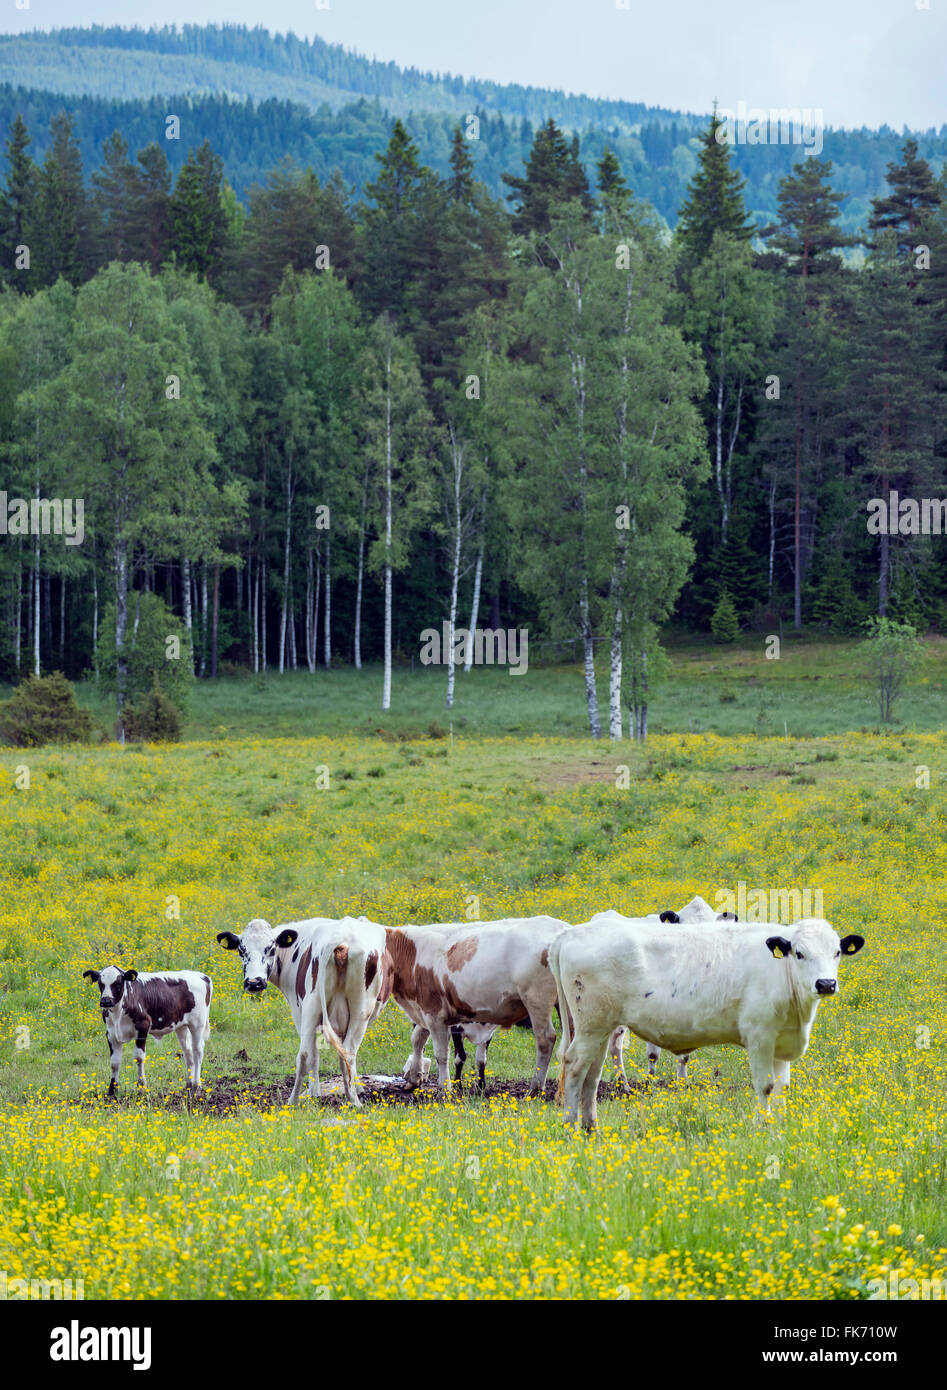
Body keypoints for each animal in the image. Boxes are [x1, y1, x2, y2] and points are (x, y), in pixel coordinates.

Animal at [82, 966, 212, 1097]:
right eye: (100, 983)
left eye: (118, 983)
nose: (106, 1001)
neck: (118, 1014)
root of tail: (200, 975)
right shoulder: (111, 1033)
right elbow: (114, 1062)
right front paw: (112, 1091)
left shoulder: (143, 1026)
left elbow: (139, 1058)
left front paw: (142, 1087)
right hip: (181, 1026)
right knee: (188, 1053)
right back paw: (188, 1086)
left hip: (197, 1024)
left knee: (197, 1052)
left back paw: (196, 1086)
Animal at [216, 916, 392, 1106]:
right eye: (241, 950)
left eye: (271, 949)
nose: (254, 982)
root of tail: (341, 939)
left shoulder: (298, 1010)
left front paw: (316, 1092)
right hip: (358, 1011)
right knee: (346, 1052)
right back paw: (352, 1101)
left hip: (315, 1008)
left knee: (309, 1053)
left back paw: (297, 1100)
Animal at [552, 915, 864, 1130]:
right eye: (800, 953)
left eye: (837, 952)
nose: (826, 983)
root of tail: (571, 932)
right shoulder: (760, 1036)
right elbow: (765, 1086)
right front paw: (763, 1126)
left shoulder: (781, 1041)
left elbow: (781, 1087)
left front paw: (779, 1125)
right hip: (591, 1027)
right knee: (575, 1066)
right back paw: (571, 1127)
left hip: (600, 1029)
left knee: (592, 1073)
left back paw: (591, 1126)